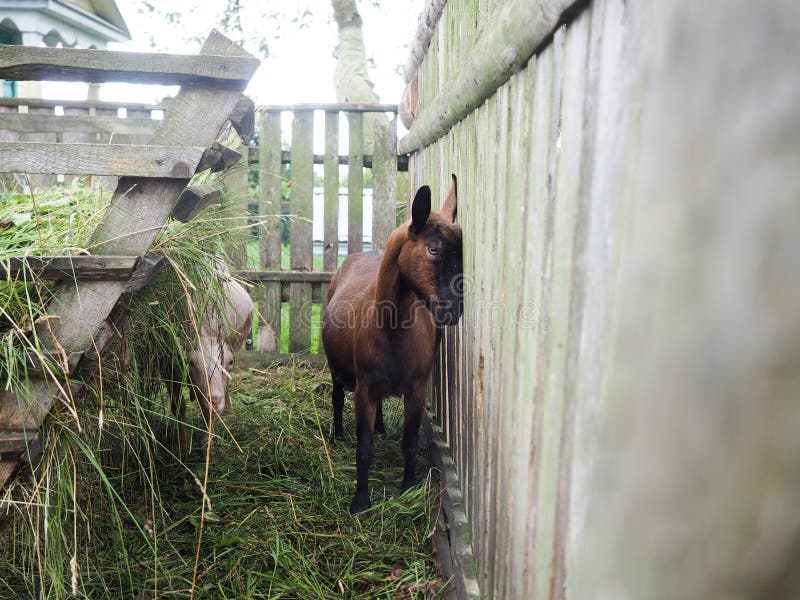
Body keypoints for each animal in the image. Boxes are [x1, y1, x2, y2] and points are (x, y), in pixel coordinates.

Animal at [322, 176, 462, 514]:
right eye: (433, 248)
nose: (453, 310)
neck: (393, 330)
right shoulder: (364, 387)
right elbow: (363, 448)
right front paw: (360, 501)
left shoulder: (417, 388)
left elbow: (409, 442)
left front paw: (408, 486)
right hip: (336, 366)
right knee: (336, 395)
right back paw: (336, 434)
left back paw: (382, 426)